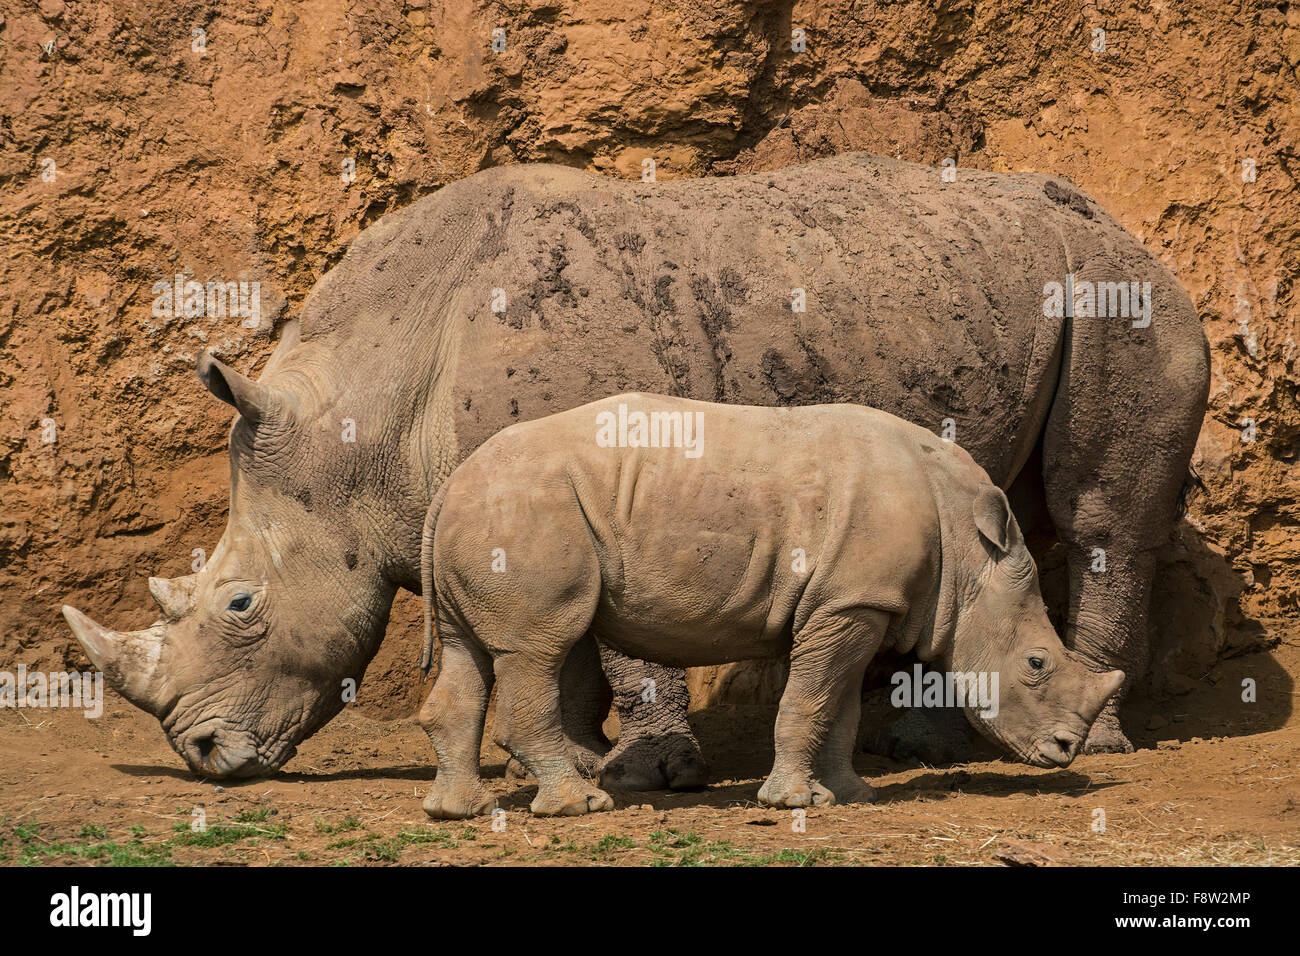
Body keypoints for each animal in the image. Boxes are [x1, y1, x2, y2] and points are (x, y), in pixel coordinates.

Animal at [416, 393, 1125, 817]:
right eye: (1036, 664)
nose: (1065, 751)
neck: (971, 556)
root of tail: (451, 480)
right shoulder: (848, 602)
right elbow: (809, 701)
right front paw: (791, 804)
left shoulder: (854, 604)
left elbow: (836, 706)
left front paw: (851, 794)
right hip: (524, 514)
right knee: (538, 648)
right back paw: (579, 807)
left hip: (486, 517)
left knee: (467, 650)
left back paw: (459, 810)